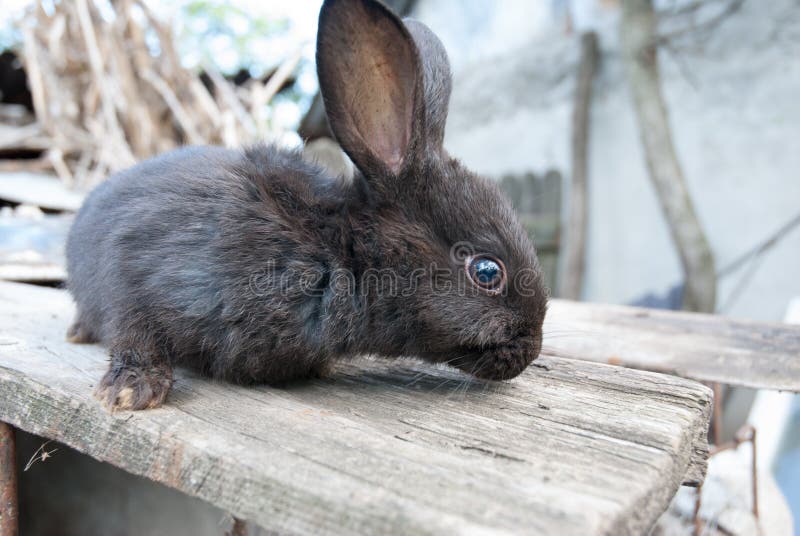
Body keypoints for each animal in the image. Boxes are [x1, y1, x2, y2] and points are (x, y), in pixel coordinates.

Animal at [65, 0, 548, 411]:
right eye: (486, 271)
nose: (530, 349)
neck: (335, 251)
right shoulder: (138, 267)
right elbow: (134, 327)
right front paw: (131, 390)